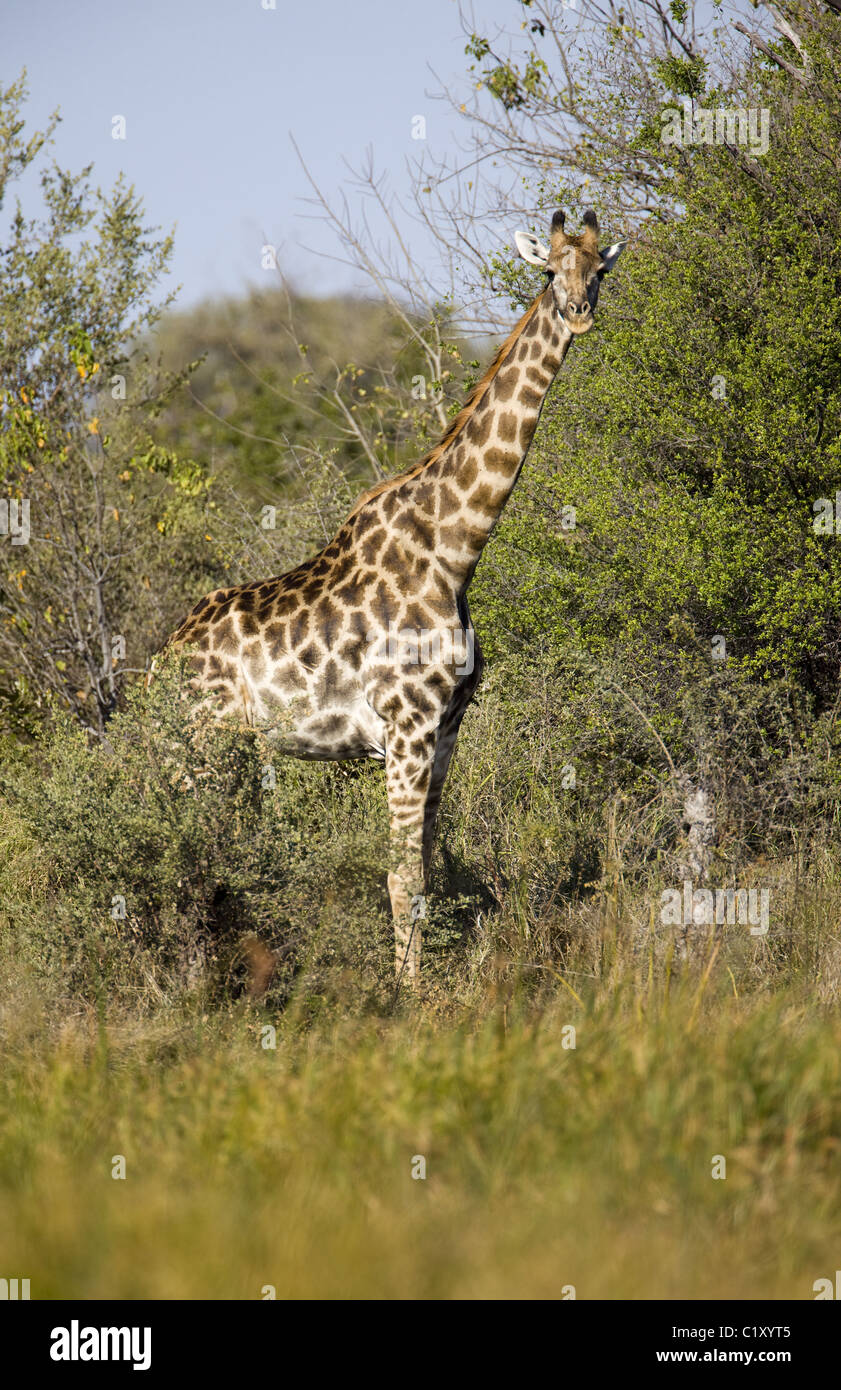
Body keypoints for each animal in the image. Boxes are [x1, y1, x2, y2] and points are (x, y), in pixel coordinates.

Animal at [156, 209, 625, 986]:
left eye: (600, 269)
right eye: (550, 267)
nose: (580, 312)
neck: (454, 551)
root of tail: (161, 656)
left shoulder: (444, 731)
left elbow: (428, 874)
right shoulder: (404, 730)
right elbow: (402, 877)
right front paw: (411, 998)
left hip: (227, 751)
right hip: (194, 745)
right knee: (175, 849)